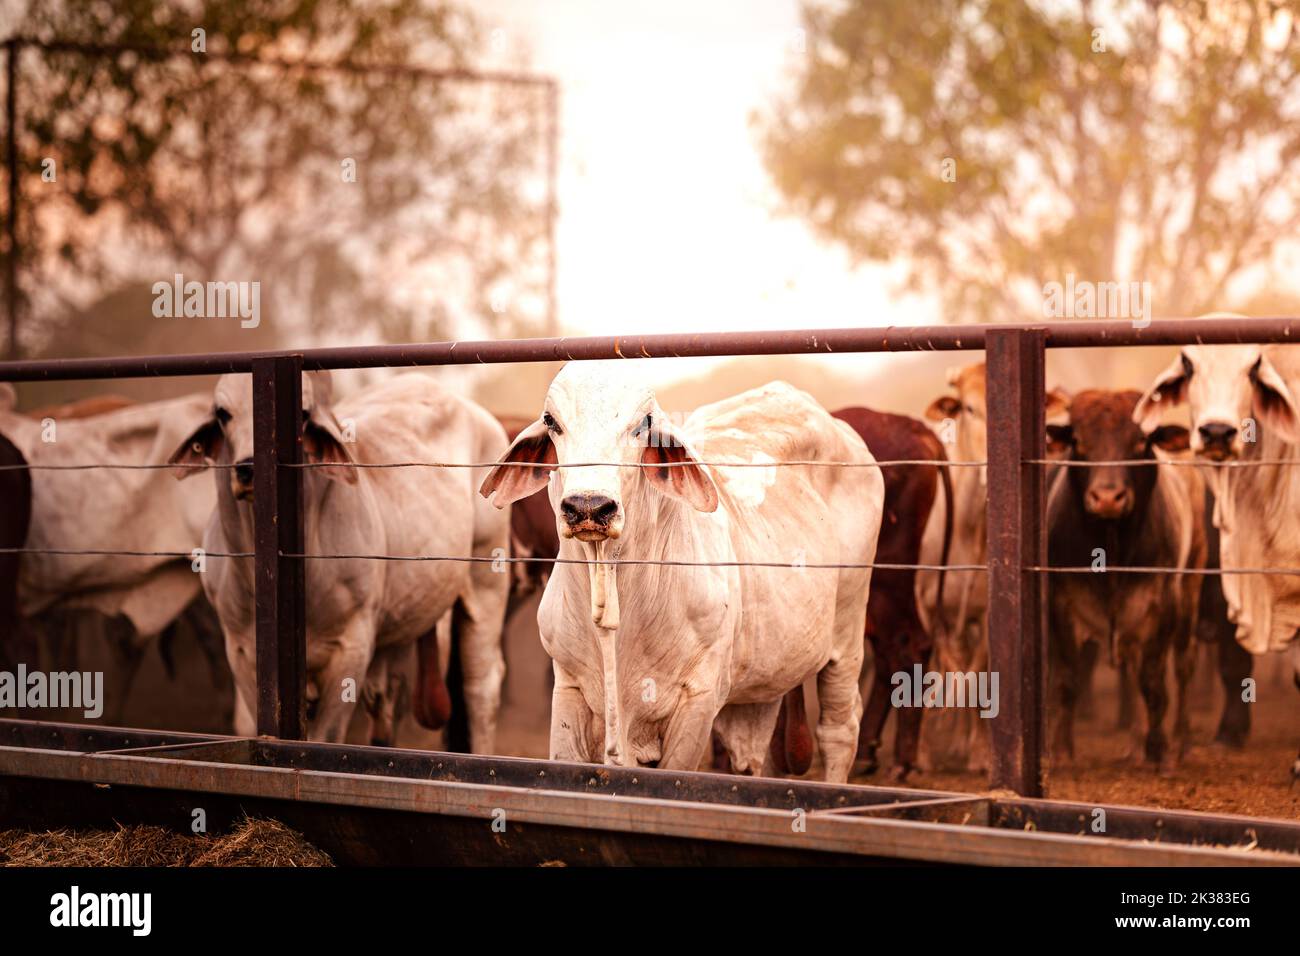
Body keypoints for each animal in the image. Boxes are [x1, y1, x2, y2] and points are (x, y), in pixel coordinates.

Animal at [170, 371, 511, 749]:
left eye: (302, 413)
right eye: (222, 412)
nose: (248, 470)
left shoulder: (351, 646)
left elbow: (327, 737)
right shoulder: (241, 649)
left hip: (486, 583)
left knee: (481, 687)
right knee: (386, 701)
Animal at [480, 363, 883, 781]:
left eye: (643, 423)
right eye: (551, 421)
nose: (588, 506)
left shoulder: (697, 700)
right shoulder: (569, 692)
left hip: (847, 634)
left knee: (838, 731)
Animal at [1046, 389, 1205, 770]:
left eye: (1140, 442)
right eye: (1078, 441)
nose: (1107, 498)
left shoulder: (1162, 603)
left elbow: (1154, 682)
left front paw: (1159, 751)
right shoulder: (1061, 601)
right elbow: (1067, 678)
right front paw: (1061, 752)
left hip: (1190, 587)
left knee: (1183, 663)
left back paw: (1180, 743)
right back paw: (1134, 743)